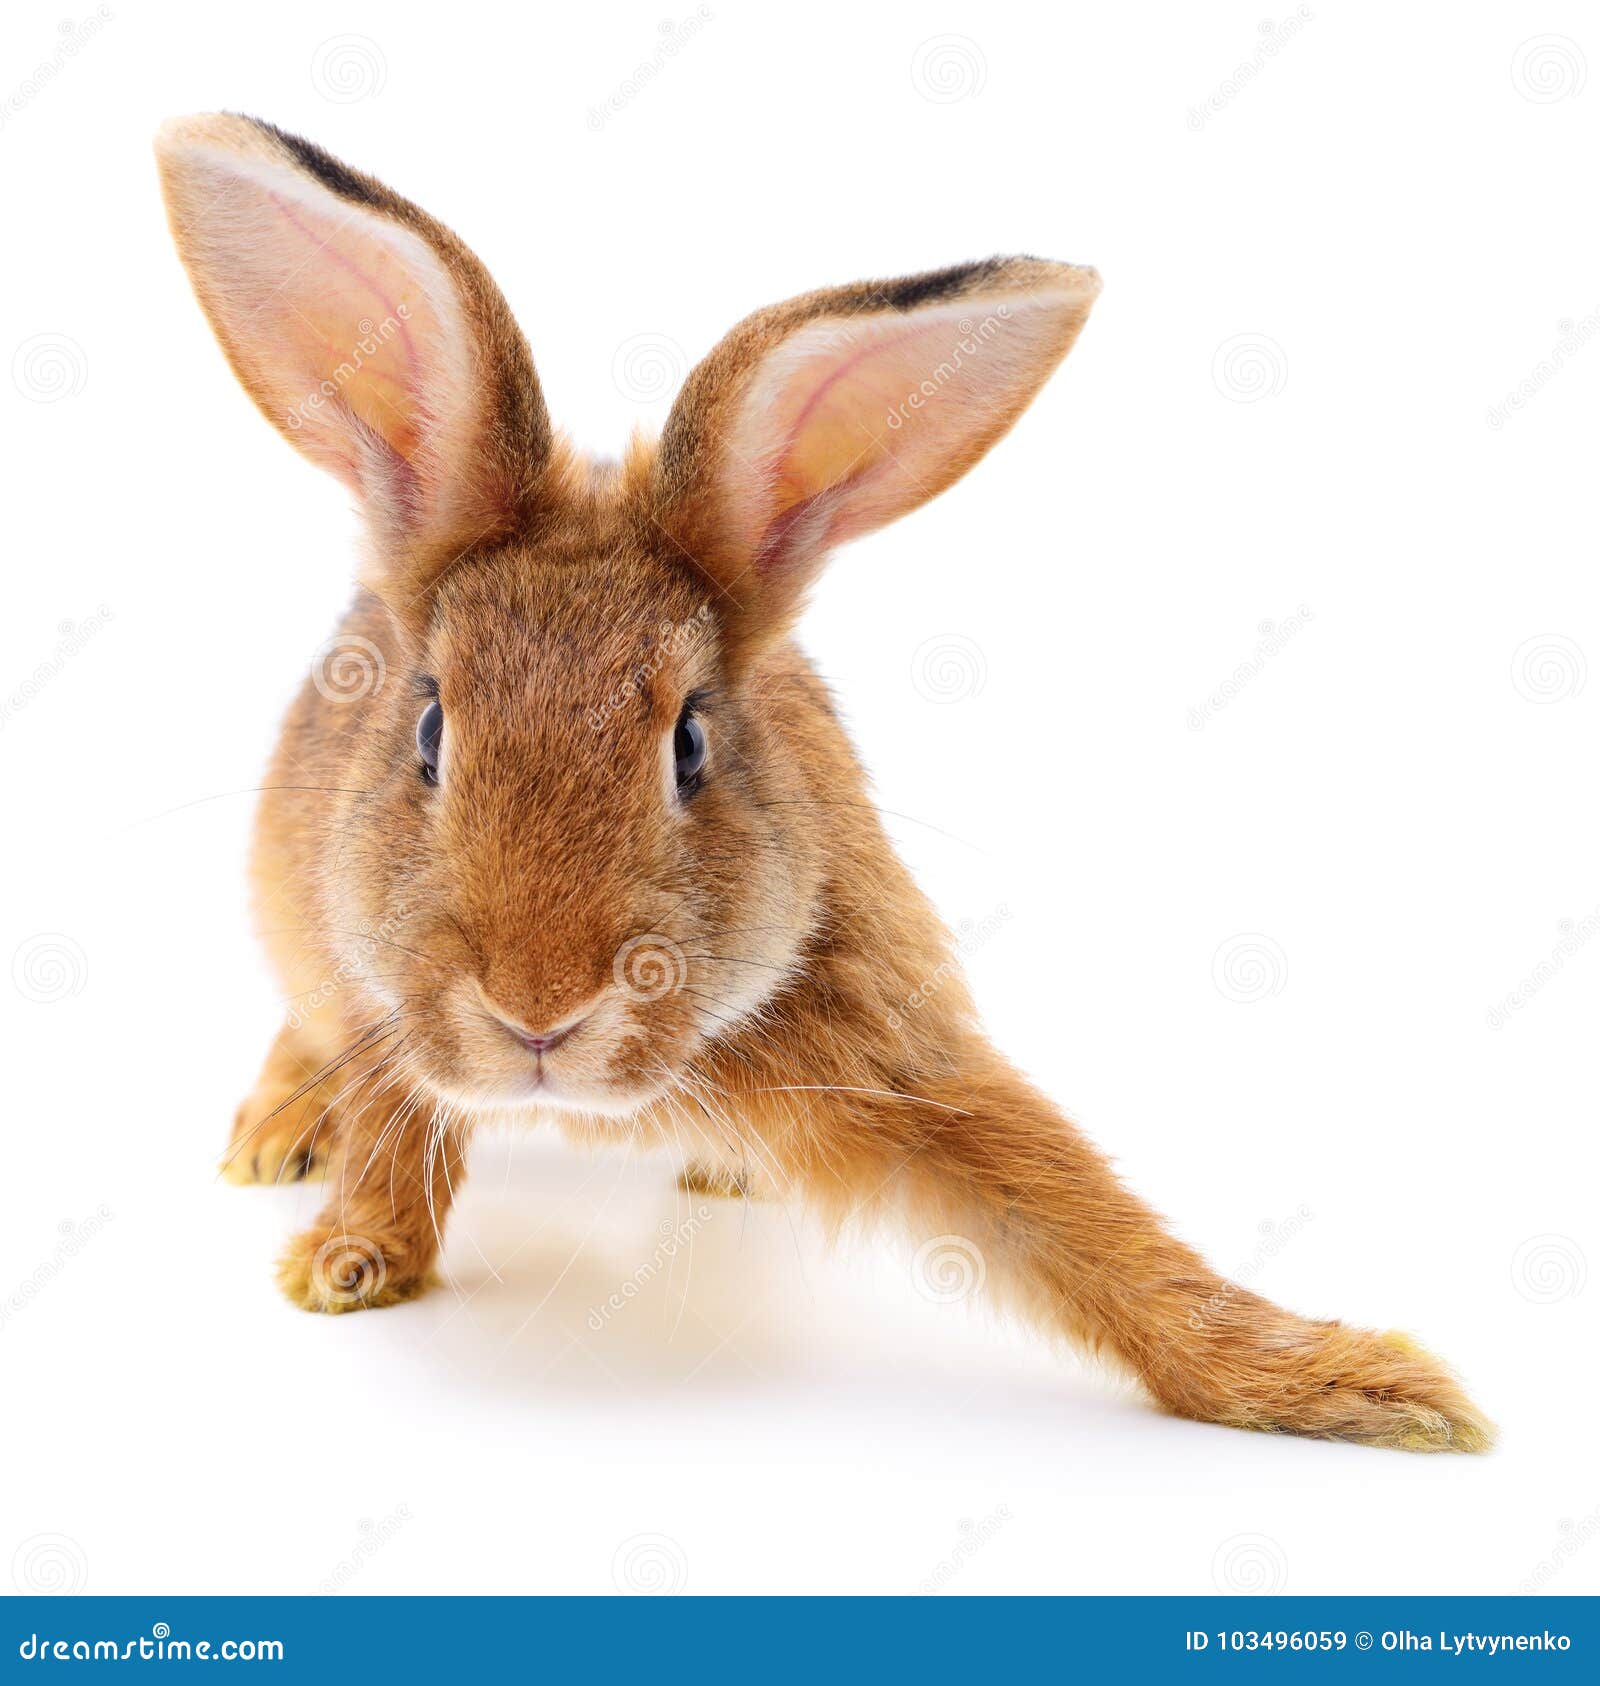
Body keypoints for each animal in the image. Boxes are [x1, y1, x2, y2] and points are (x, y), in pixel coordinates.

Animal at [155, 113, 1490, 1451]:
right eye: (430, 730)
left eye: (690, 744)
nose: (540, 1011)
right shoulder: (376, 997)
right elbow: (393, 1131)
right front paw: (348, 1265)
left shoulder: (892, 1044)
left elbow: (1081, 1227)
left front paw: (1362, 1388)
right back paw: (275, 1139)